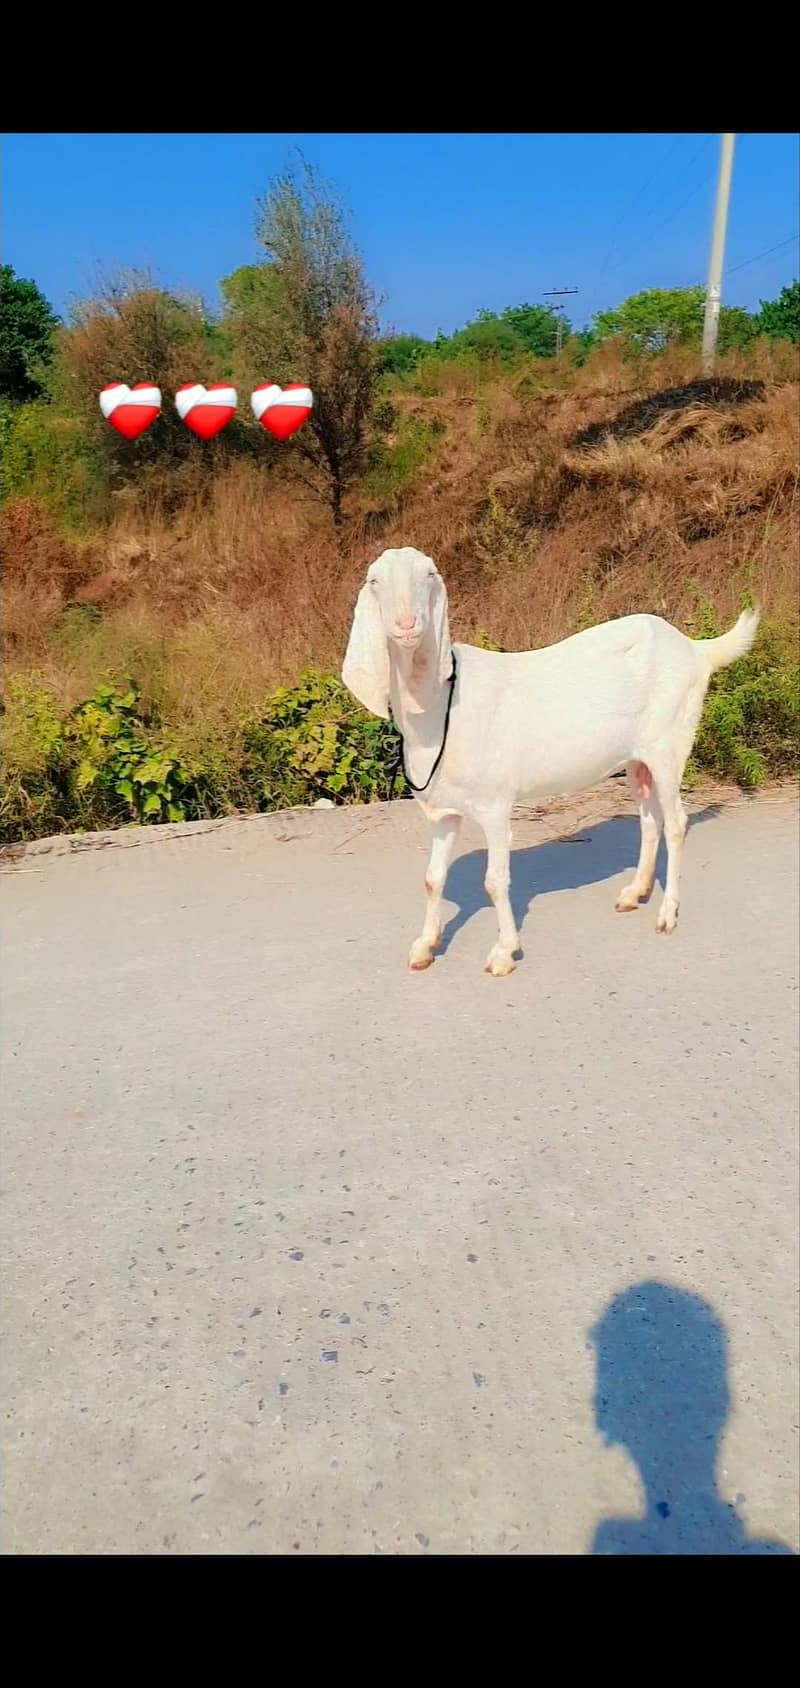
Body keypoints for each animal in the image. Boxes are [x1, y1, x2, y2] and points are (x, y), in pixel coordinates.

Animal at [342, 547, 759, 976]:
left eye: (429, 575)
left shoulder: (494, 804)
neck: (440, 705)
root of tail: (695, 648)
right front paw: (425, 946)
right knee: (649, 819)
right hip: (637, 758)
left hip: (669, 740)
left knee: (676, 822)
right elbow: (432, 878)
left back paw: (666, 914)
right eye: (375, 581)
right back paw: (635, 892)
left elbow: (494, 880)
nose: (407, 624)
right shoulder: (443, 811)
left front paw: (504, 952)